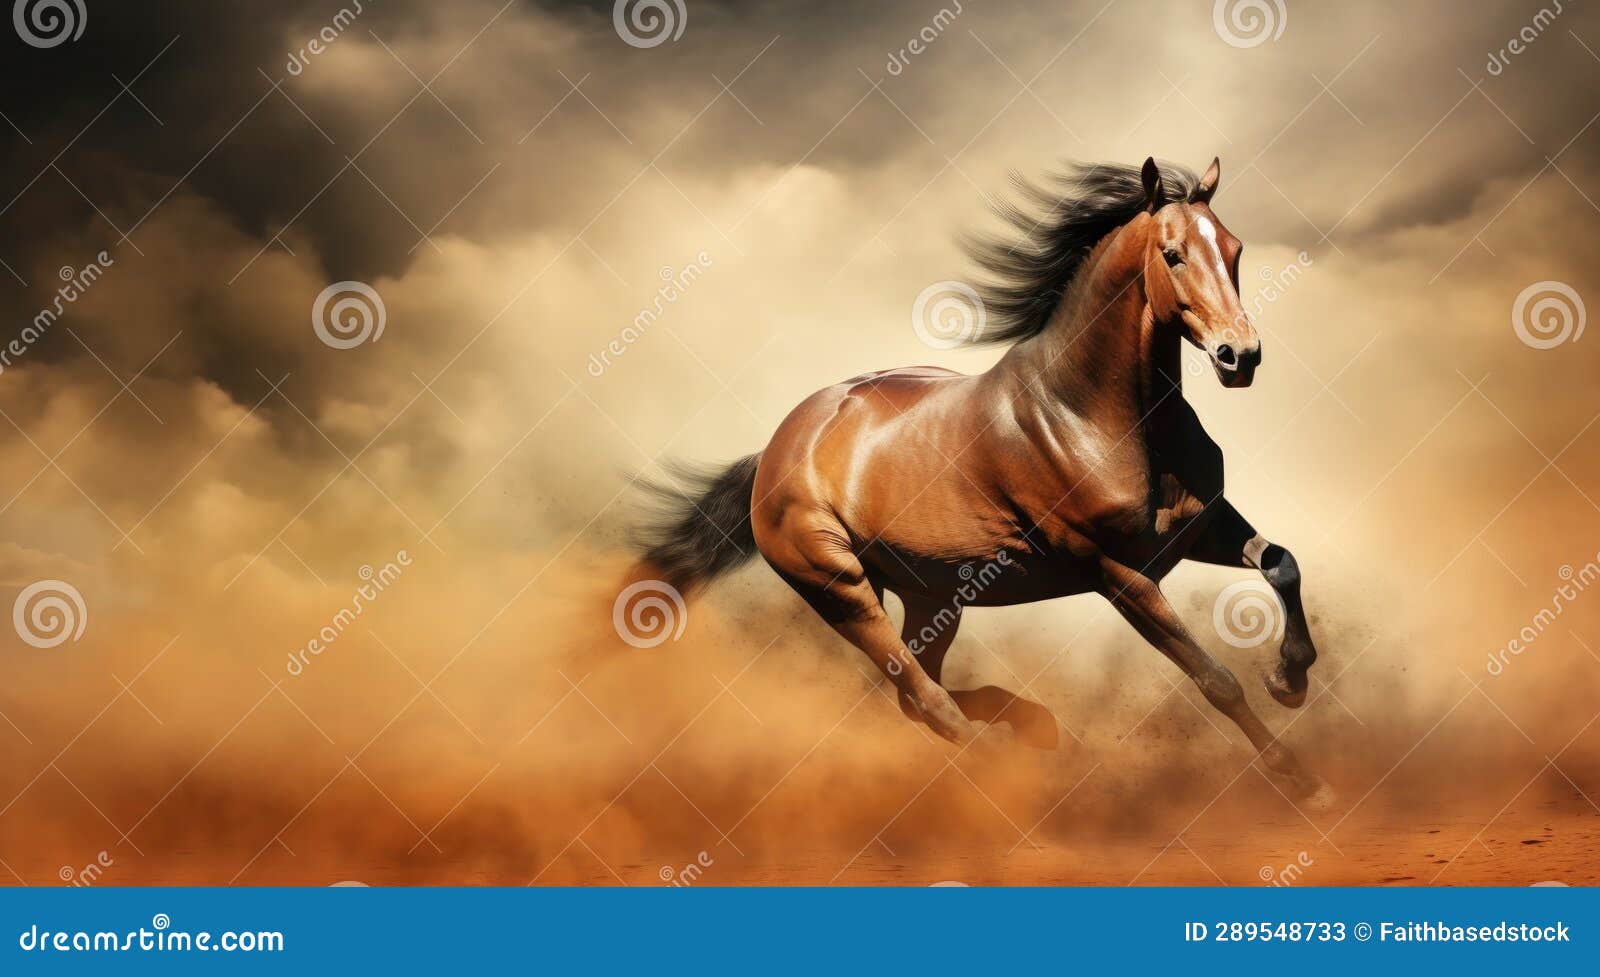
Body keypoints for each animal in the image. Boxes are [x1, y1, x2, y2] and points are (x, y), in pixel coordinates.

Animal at [634, 157, 1332, 807]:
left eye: (1235, 249)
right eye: (1173, 255)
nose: (1240, 356)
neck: (1100, 415)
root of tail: (776, 450)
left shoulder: (1203, 525)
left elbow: (1281, 563)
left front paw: (1288, 681)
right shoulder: (1118, 574)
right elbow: (1215, 679)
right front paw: (1298, 778)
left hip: (934, 596)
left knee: (917, 687)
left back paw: (1034, 724)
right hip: (840, 588)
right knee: (922, 696)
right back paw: (1010, 764)